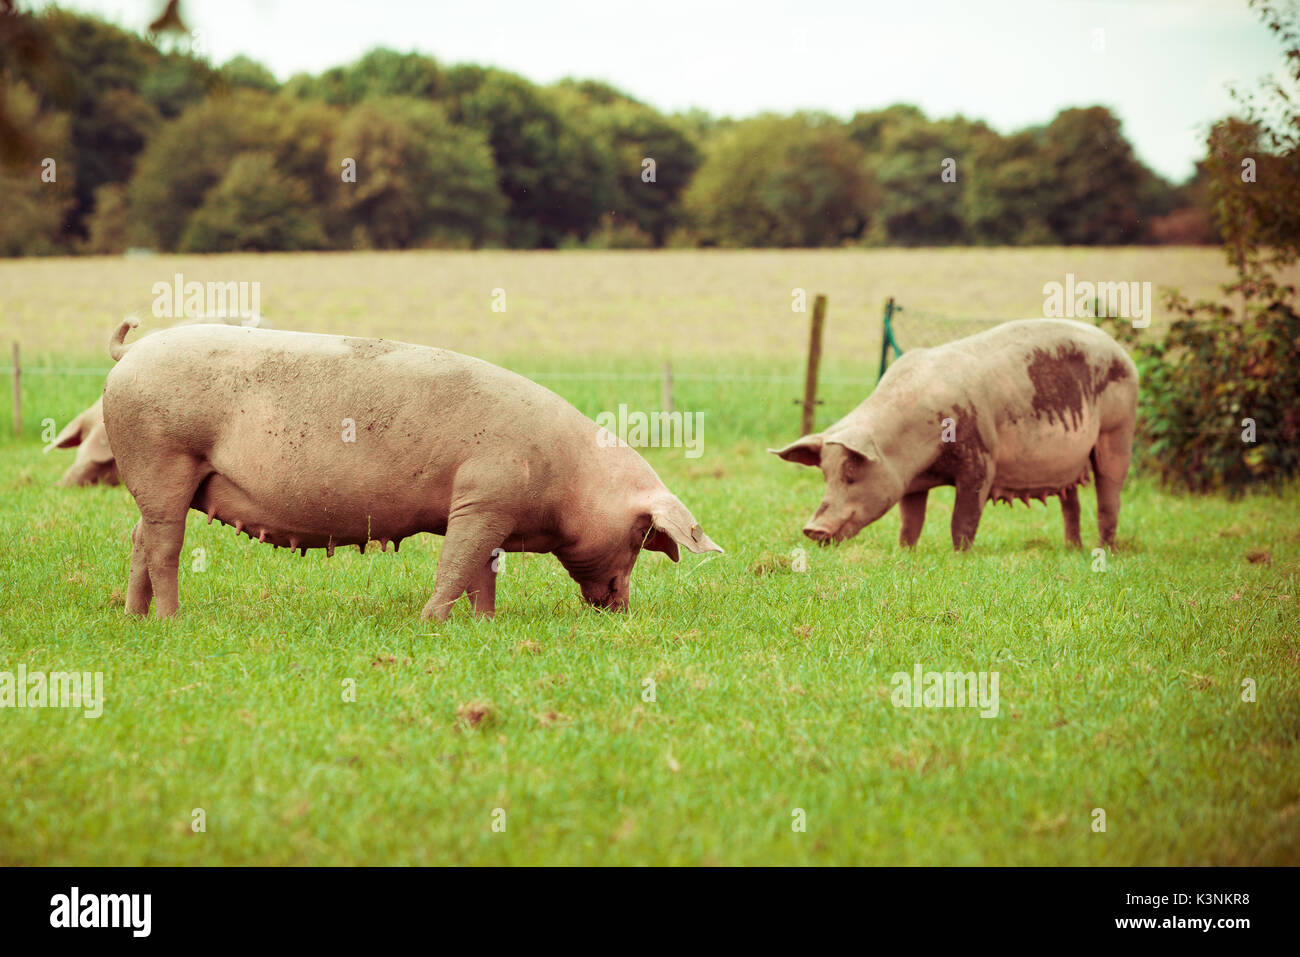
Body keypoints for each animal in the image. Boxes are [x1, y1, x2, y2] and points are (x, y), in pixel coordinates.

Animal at [101, 319, 722, 620]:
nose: (621, 608)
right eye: (640, 537)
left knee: (138, 537)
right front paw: (428, 623)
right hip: (161, 457)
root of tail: (129, 354)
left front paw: (484, 624)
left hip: (158, 479)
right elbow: (457, 564)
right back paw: (171, 621)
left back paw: (133, 619)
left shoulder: (486, 513)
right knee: (164, 545)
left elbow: (482, 572)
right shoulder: (484, 496)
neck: (566, 478)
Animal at [772, 319, 1137, 550]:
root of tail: (1123, 353)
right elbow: (910, 521)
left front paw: (960, 554)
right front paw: (905, 551)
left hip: (1118, 430)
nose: (811, 529)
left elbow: (963, 518)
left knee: (1109, 497)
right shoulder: (910, 484)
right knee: (1070, 504)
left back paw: (1104, 550)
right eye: (825, 474)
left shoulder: (981, 460)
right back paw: (1072, 548)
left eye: (851, 471)